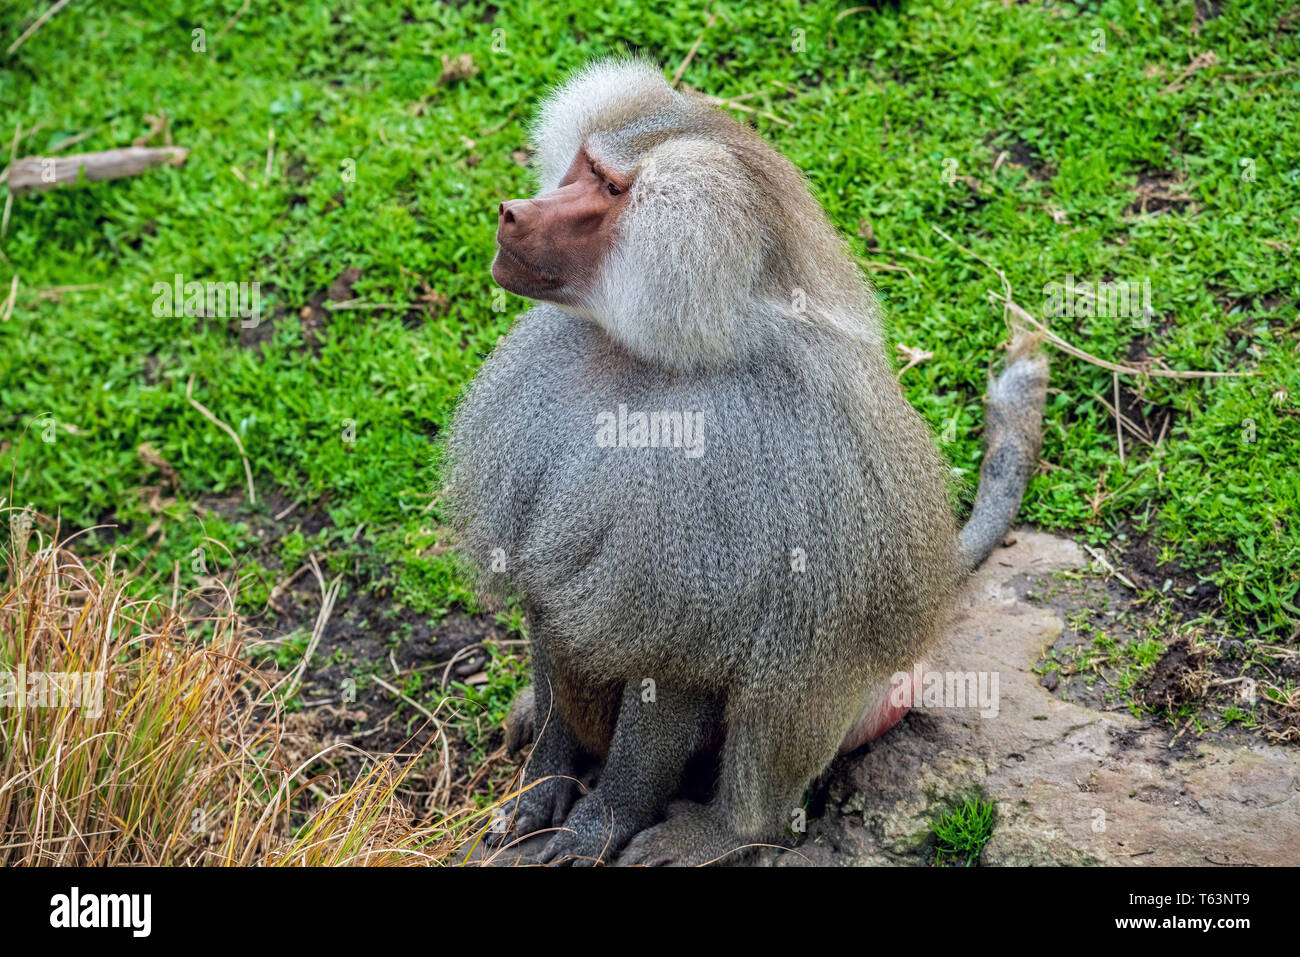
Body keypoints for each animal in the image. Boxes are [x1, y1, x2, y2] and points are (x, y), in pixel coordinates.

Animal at [444, 58, 1048, 866]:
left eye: (610, 190)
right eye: (584, 166)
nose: (513, 212)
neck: (643, 356)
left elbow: (676, 658)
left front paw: (600, 824)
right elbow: (548, 601)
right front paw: (538, 793)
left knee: (798, 669)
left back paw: (724, 829)